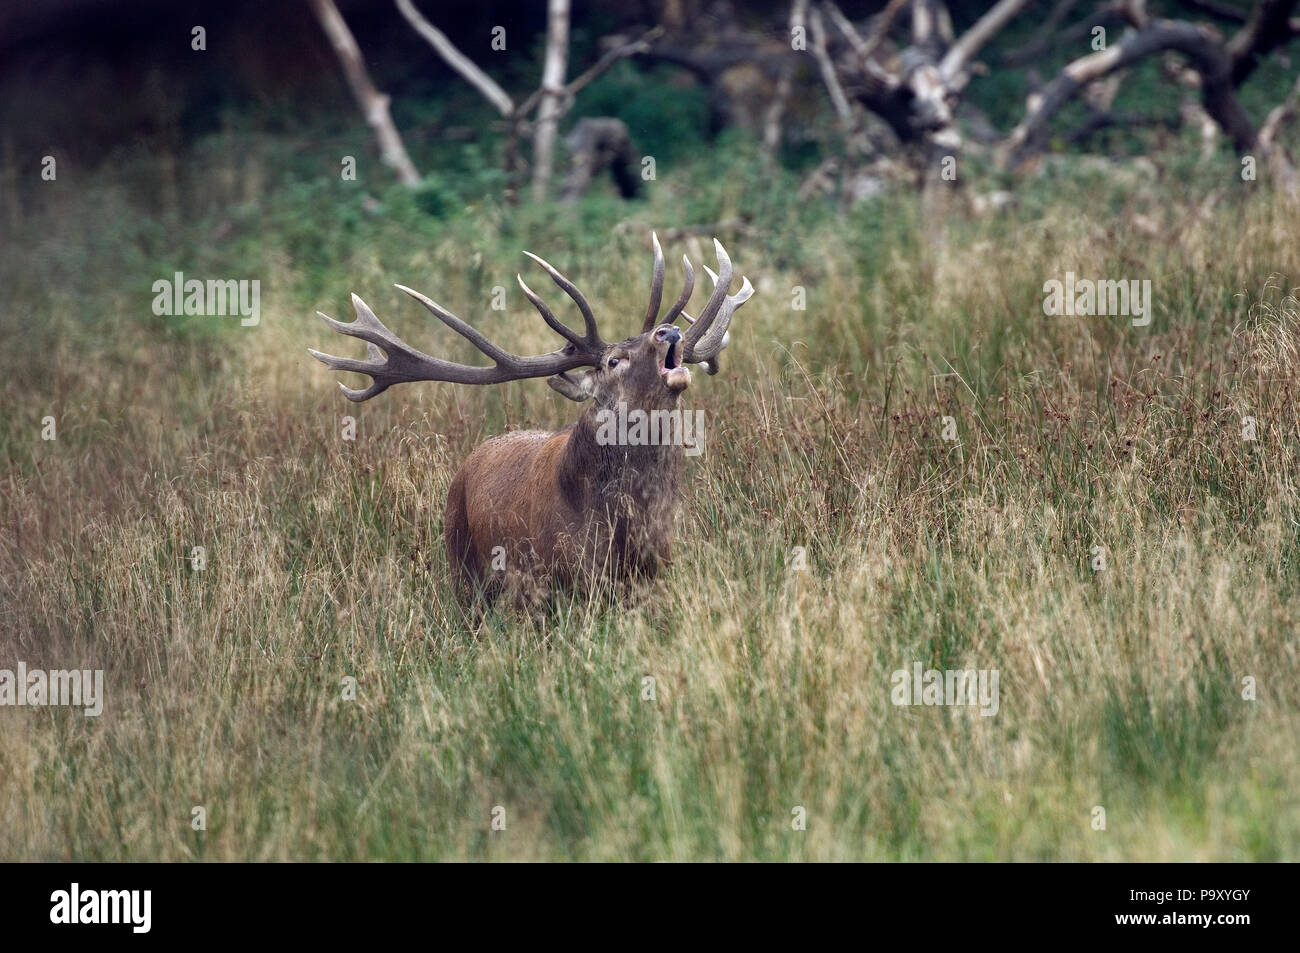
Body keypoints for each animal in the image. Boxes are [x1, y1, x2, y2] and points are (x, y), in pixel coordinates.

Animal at [309, 234, 753, 603]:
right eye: (613, 360)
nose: (668, 331)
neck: (624, 520)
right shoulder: (570, 578)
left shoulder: (658, 567)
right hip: (460, 561)